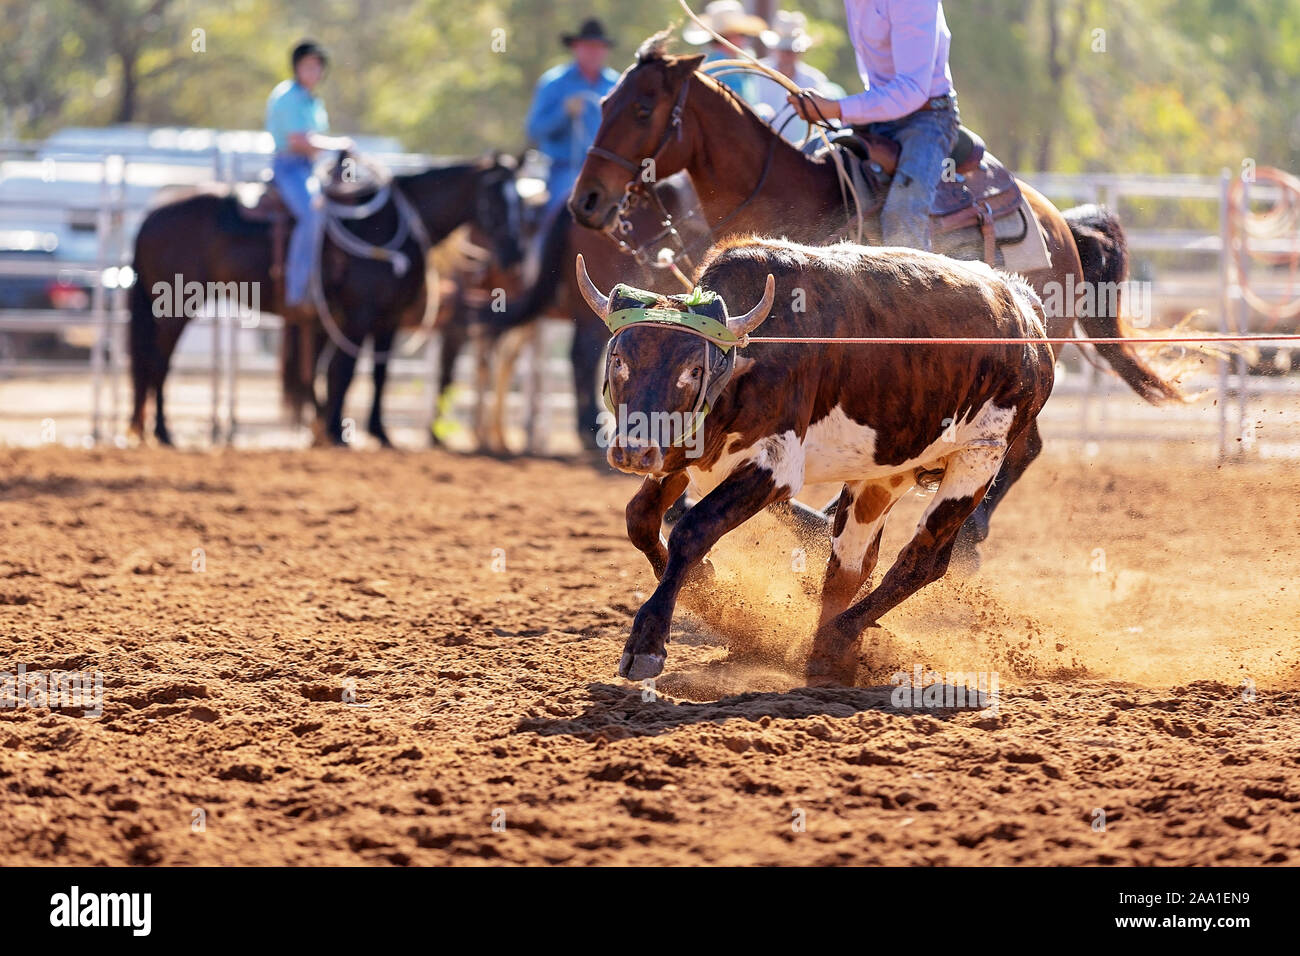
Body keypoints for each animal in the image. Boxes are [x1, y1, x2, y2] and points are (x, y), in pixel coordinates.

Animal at [576, 235, 1055, 686]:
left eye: (694, 368)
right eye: (618, 360)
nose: (632, 451)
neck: (751, 358)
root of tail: (1024, 309)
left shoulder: (775, 468)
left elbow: (693, 530)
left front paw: (646, 644)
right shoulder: (684, 450)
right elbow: (639, 517)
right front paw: (705, 580)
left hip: (978, 458)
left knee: (923, 560)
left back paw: (835, 640)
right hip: (883, 474)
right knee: (848, 566)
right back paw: (829, 652)